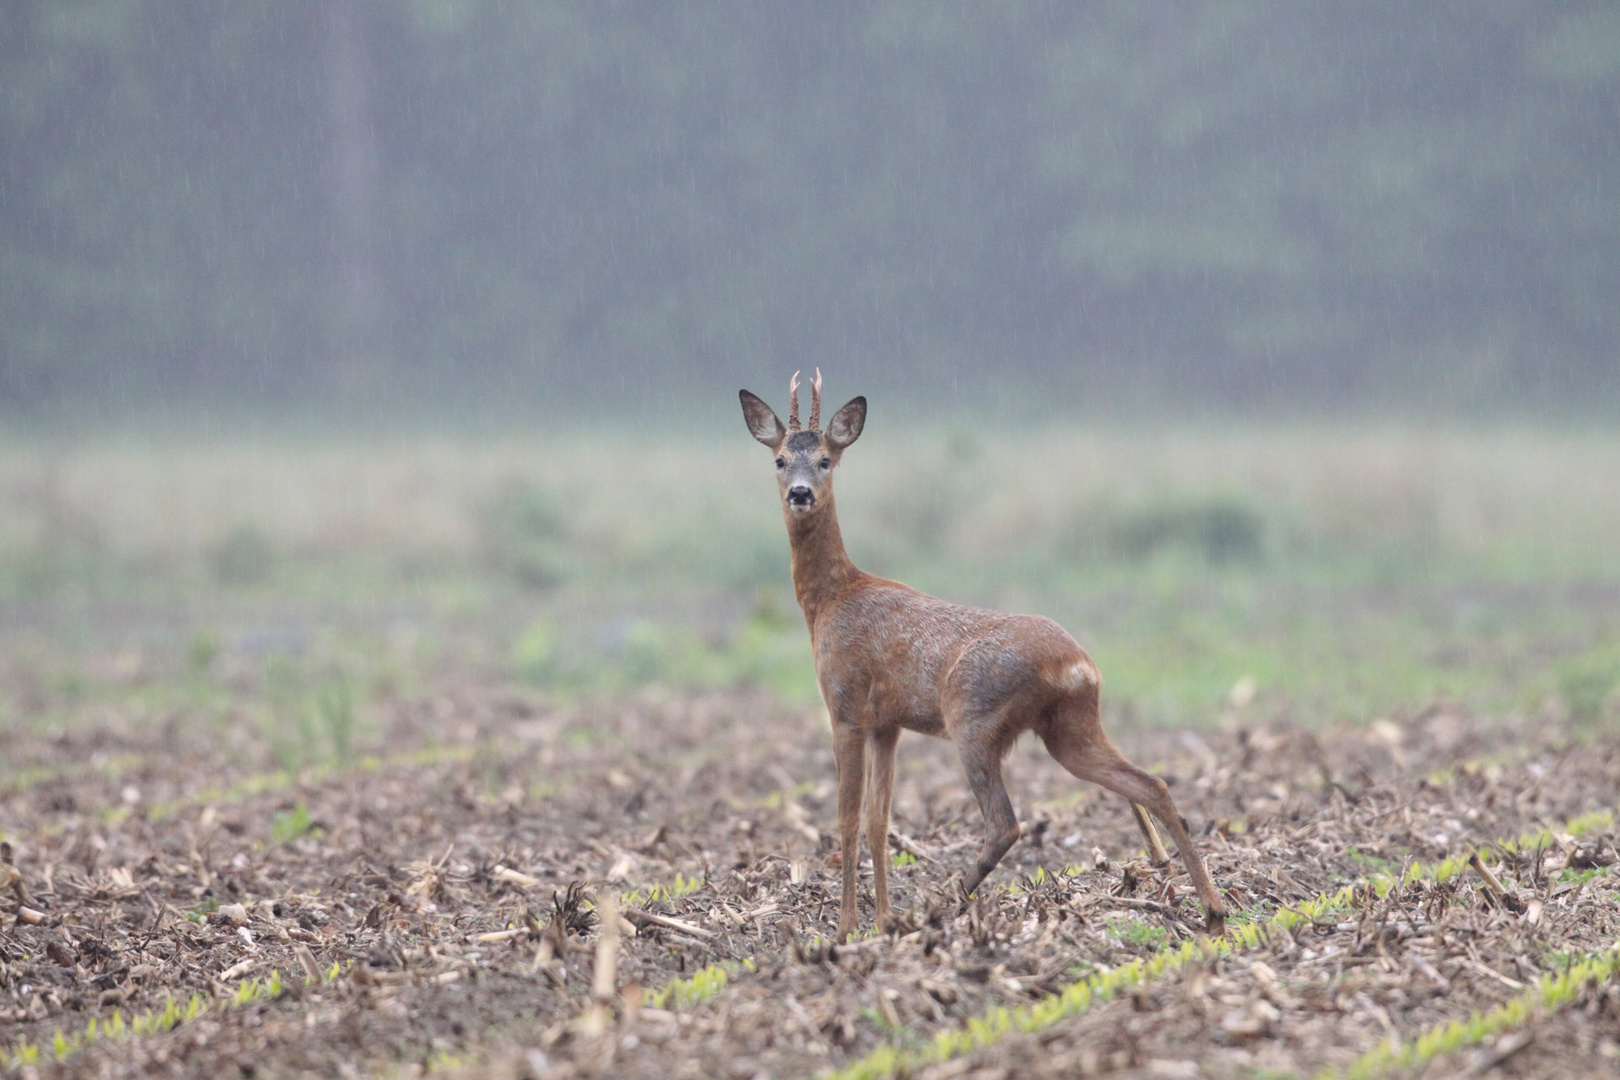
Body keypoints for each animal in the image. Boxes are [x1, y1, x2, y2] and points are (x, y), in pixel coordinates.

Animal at [738, 372, 1224, 939]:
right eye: (779, 460)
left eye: (824, 460)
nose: (800, 493)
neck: (829, 600)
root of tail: (1078, 665)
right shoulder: (887, 723)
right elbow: (881, 821)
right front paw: (882, 921)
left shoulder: (845, 706)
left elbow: (848, 819)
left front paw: (846, 928)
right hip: (1070, 728)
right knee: (1152, 784)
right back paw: (1212, 909)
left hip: (973, 718)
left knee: (1005, 824)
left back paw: (942, 901)